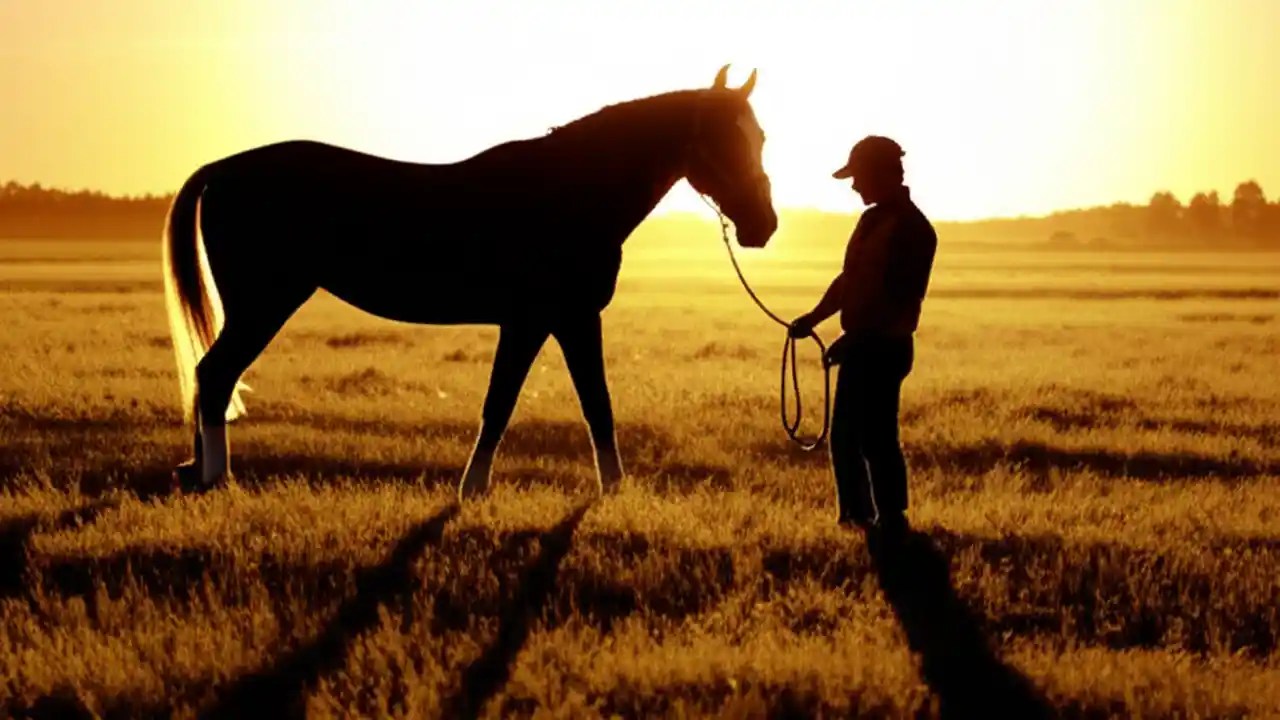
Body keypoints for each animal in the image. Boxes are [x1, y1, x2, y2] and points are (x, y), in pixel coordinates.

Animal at [163, 64, 777, 499]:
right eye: (724, 139)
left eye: (760, 138)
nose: (763, 225)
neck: (571, 191)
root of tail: (222, 169)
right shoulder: (536, 321)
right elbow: (504, 403)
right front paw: (475, 490)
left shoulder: (570, 321)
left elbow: (595, 404)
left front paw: (613, 491)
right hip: (263, 304)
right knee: (214, 375)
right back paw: (216, 479)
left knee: (210, 377)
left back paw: (199, 474)